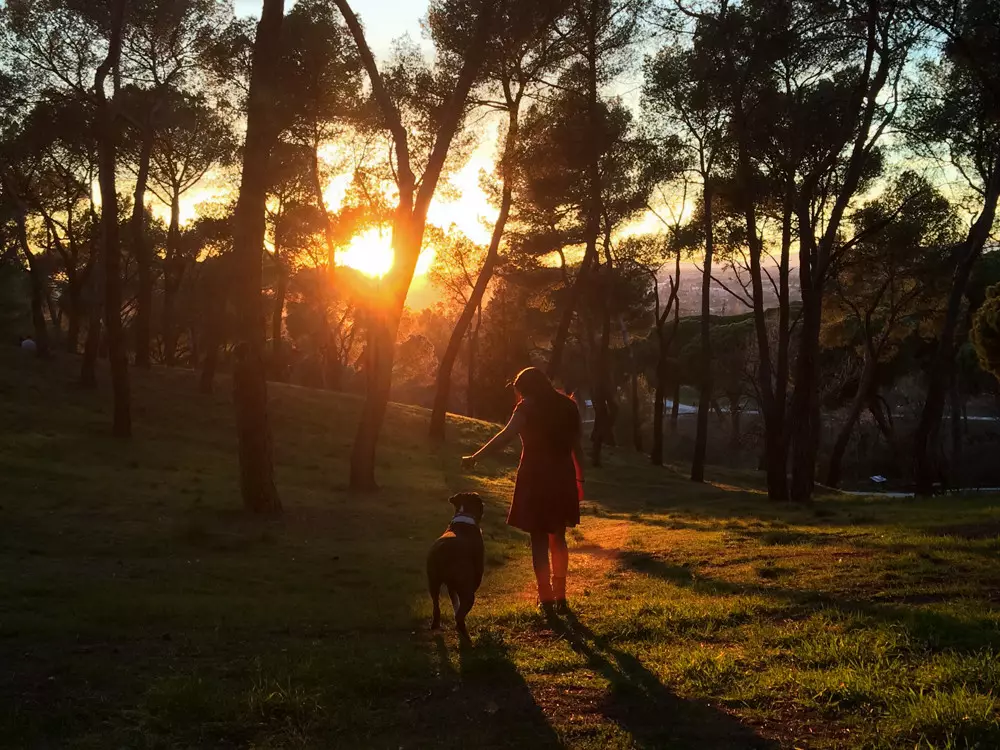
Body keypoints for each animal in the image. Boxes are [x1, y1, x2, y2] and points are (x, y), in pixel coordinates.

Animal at [426, 494, 484, 640]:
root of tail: (443, 549)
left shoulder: (450, 586)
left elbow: (455, 601)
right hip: (467, 591)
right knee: (460, 614)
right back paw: (463, 630)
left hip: (433, 583)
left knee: (436, 606)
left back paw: (436, 625)